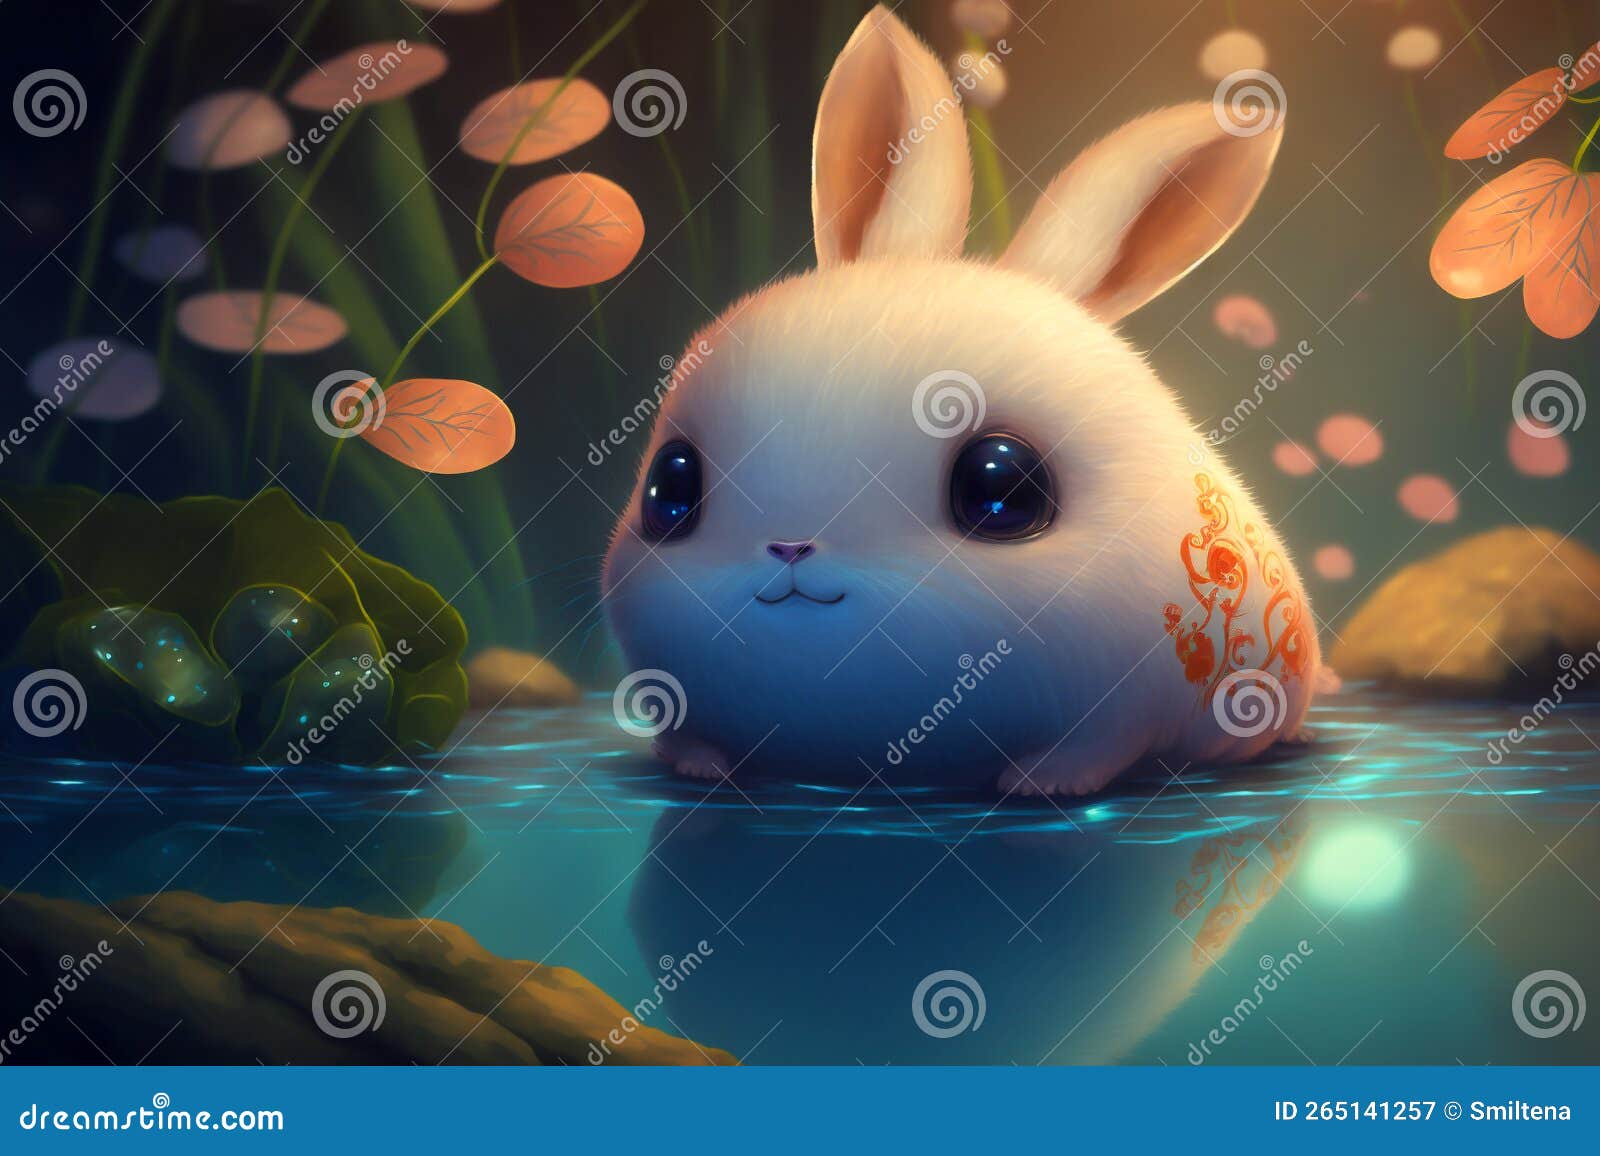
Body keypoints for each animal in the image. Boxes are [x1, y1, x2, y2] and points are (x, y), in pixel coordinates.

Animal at [602, 5, 1320, 795]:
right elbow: (687, 737)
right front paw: (701, 767)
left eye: (1002, 489)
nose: (790, 544)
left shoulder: (1129, 703)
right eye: (671, 488)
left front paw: (1042, 784)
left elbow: (1099, 744)